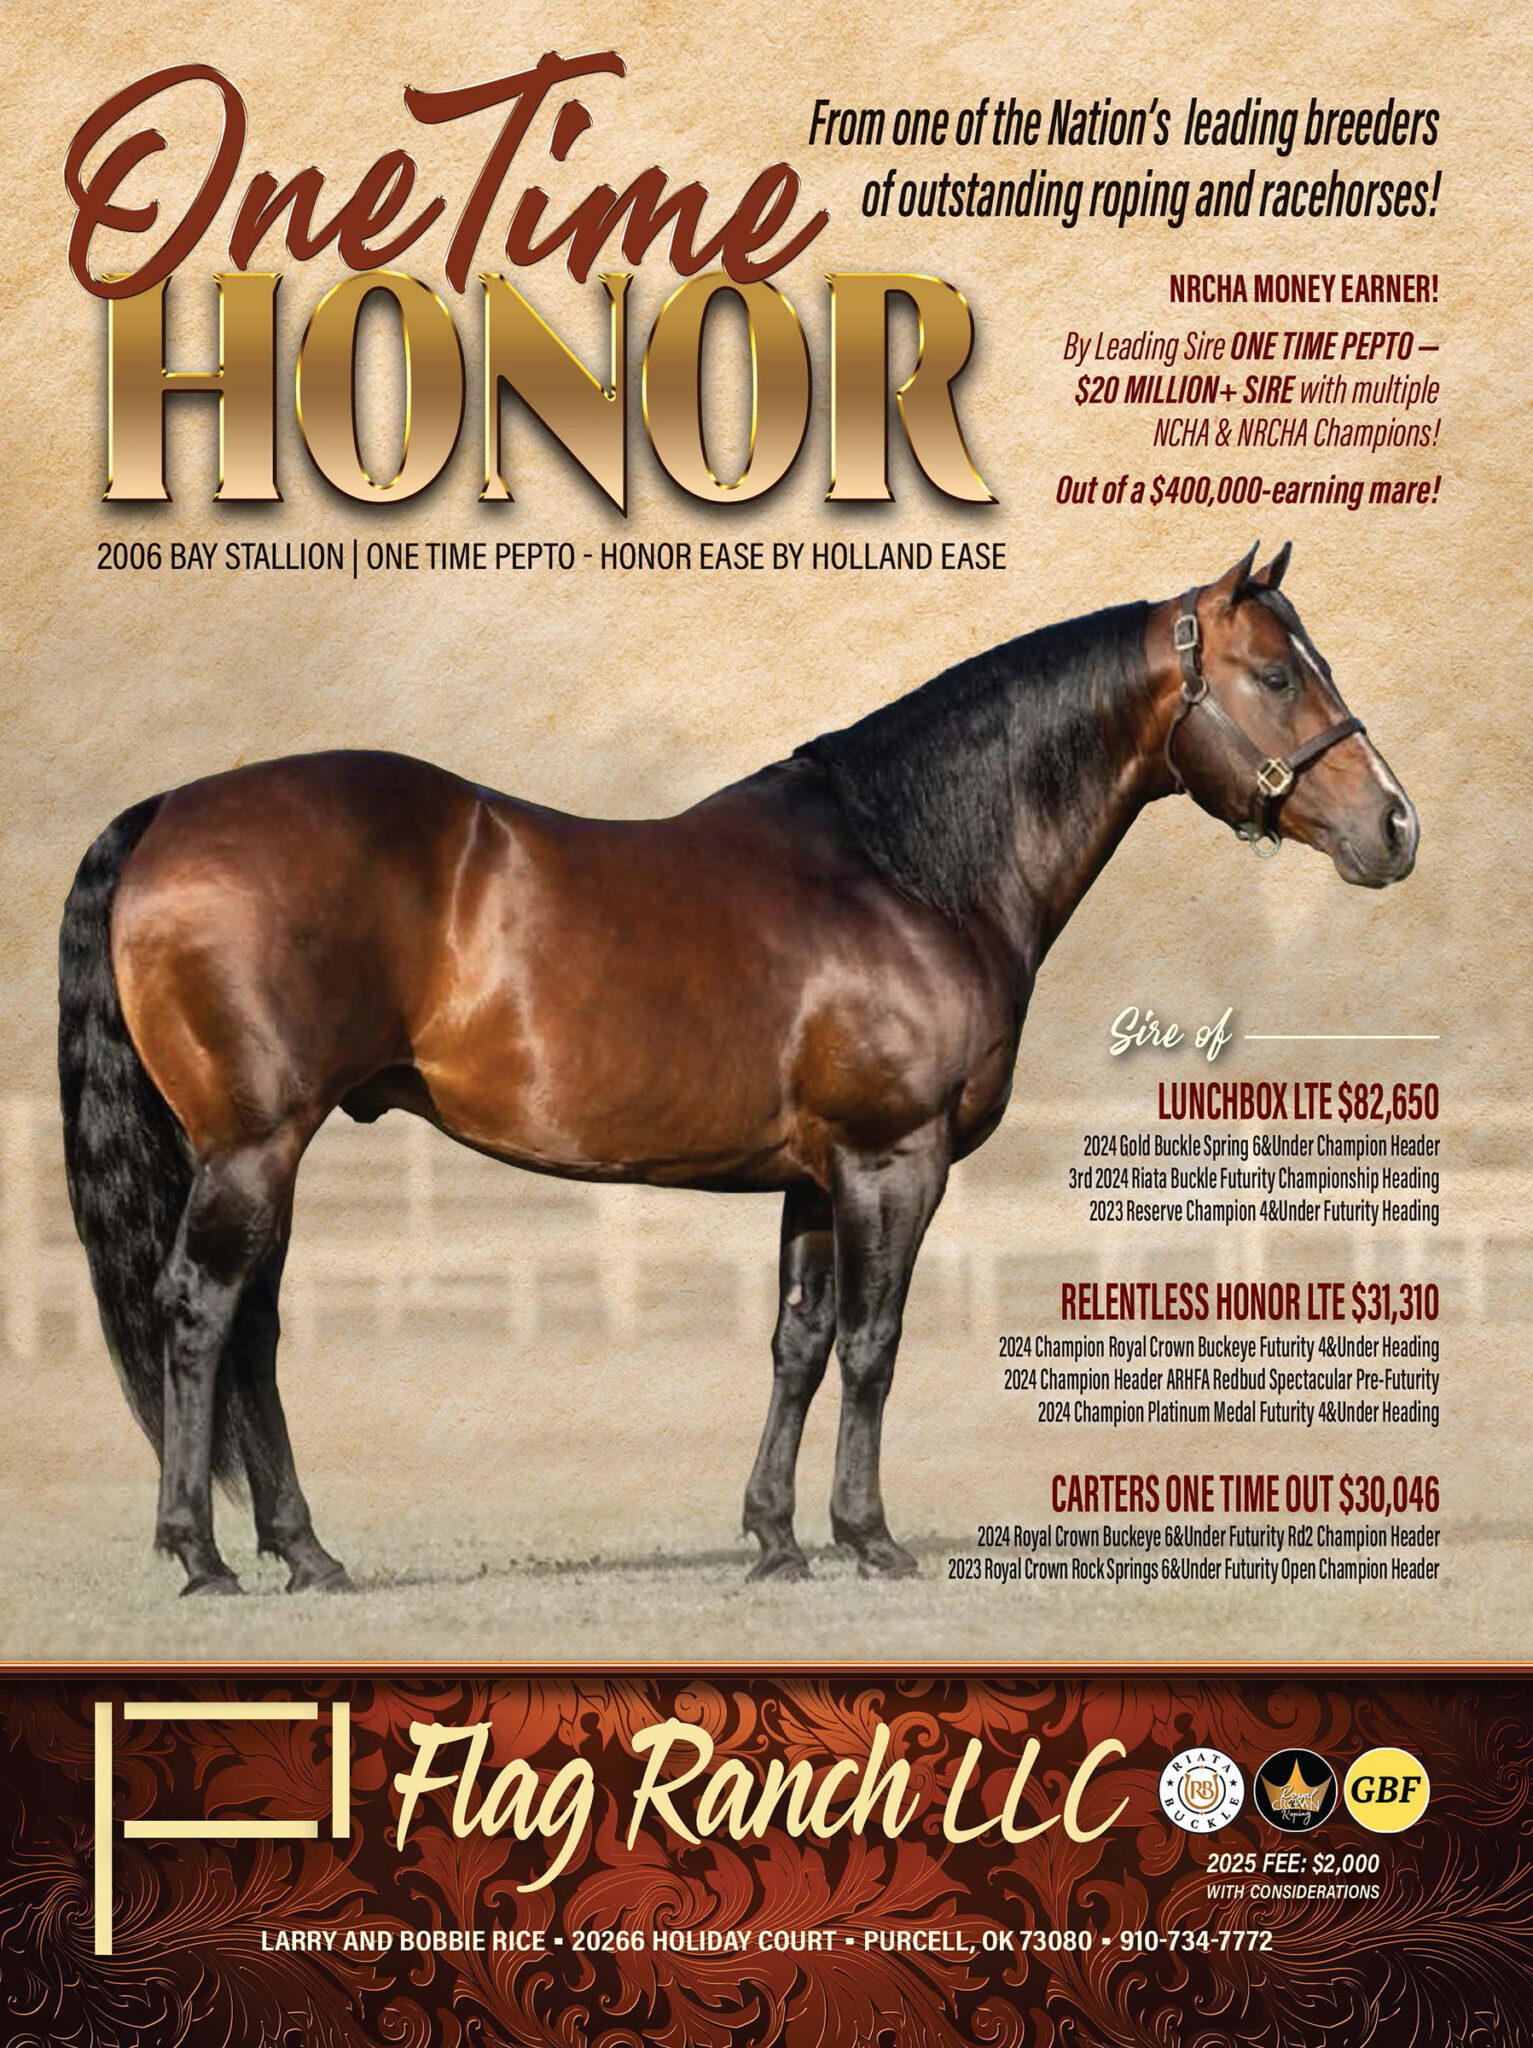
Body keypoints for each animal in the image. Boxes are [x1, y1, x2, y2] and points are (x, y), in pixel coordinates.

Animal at [58, 545, 1418, 1596]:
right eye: (1278, 672)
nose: (1395, 828)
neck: (905, 862)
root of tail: (170, 809)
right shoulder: (892, 1158)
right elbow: (874, 1341)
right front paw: (868, 1537)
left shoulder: (814, 1176)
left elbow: (798, 1343)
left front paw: (774, 1539)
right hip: (253, 1145)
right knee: (202, 1311)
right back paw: (204, 1556)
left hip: (262, 1149)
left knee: (255, 1330)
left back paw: (307, 1553)